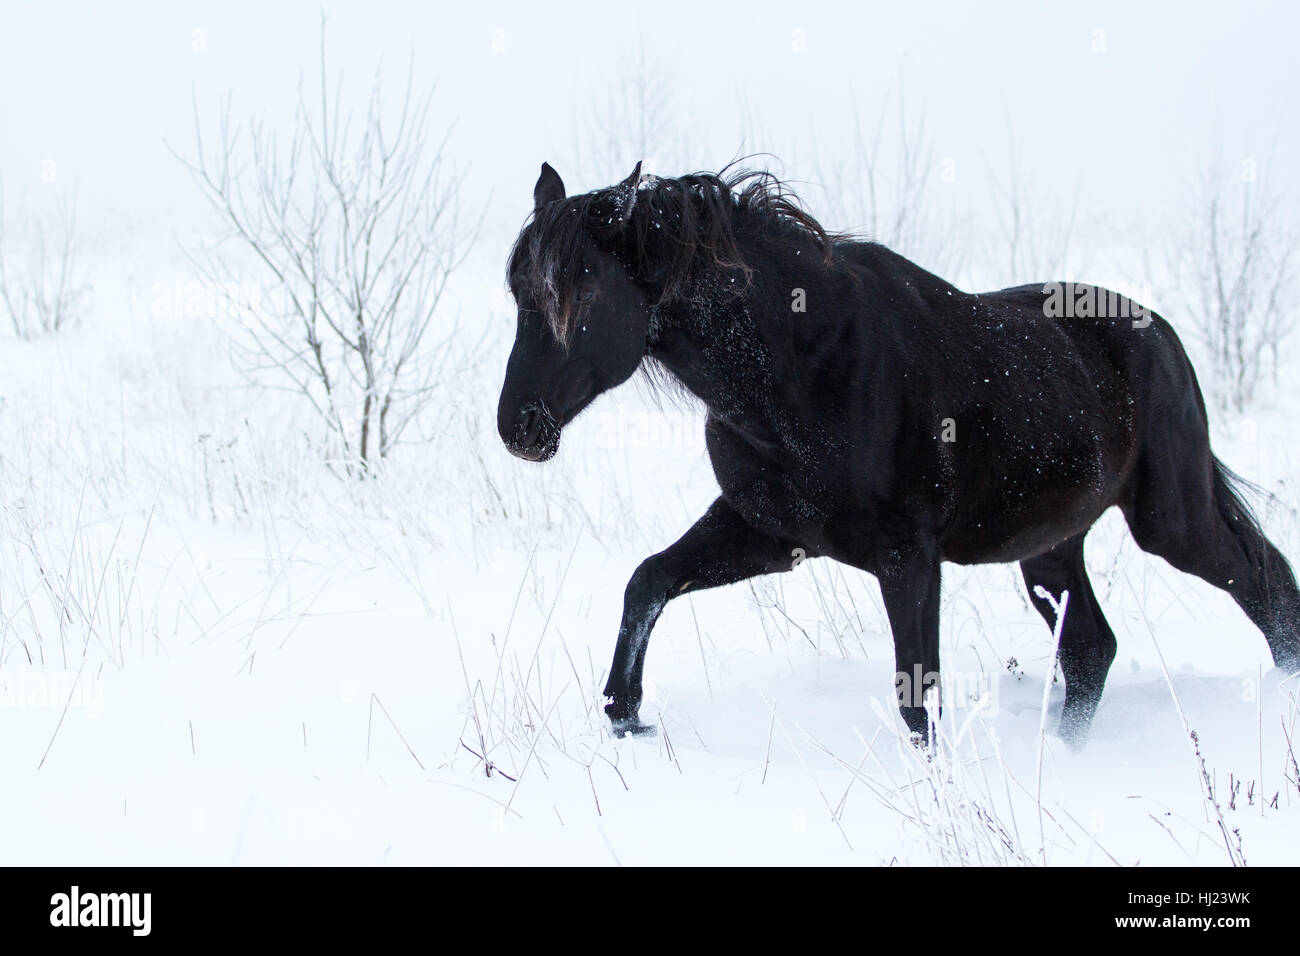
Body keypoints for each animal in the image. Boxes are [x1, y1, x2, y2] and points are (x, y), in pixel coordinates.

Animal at [496, 160, 1300, 747]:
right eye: (518, 293)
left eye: (582, 290)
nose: (519, 428)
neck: (804, 366)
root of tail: (1159, 332)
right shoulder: (769, 533)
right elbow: (649, 581)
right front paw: (626, 715)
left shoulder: (907, 556)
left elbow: (919, 698)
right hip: (1049, 548)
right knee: (1090, 650)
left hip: (1171, 521)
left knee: (1266, 585)